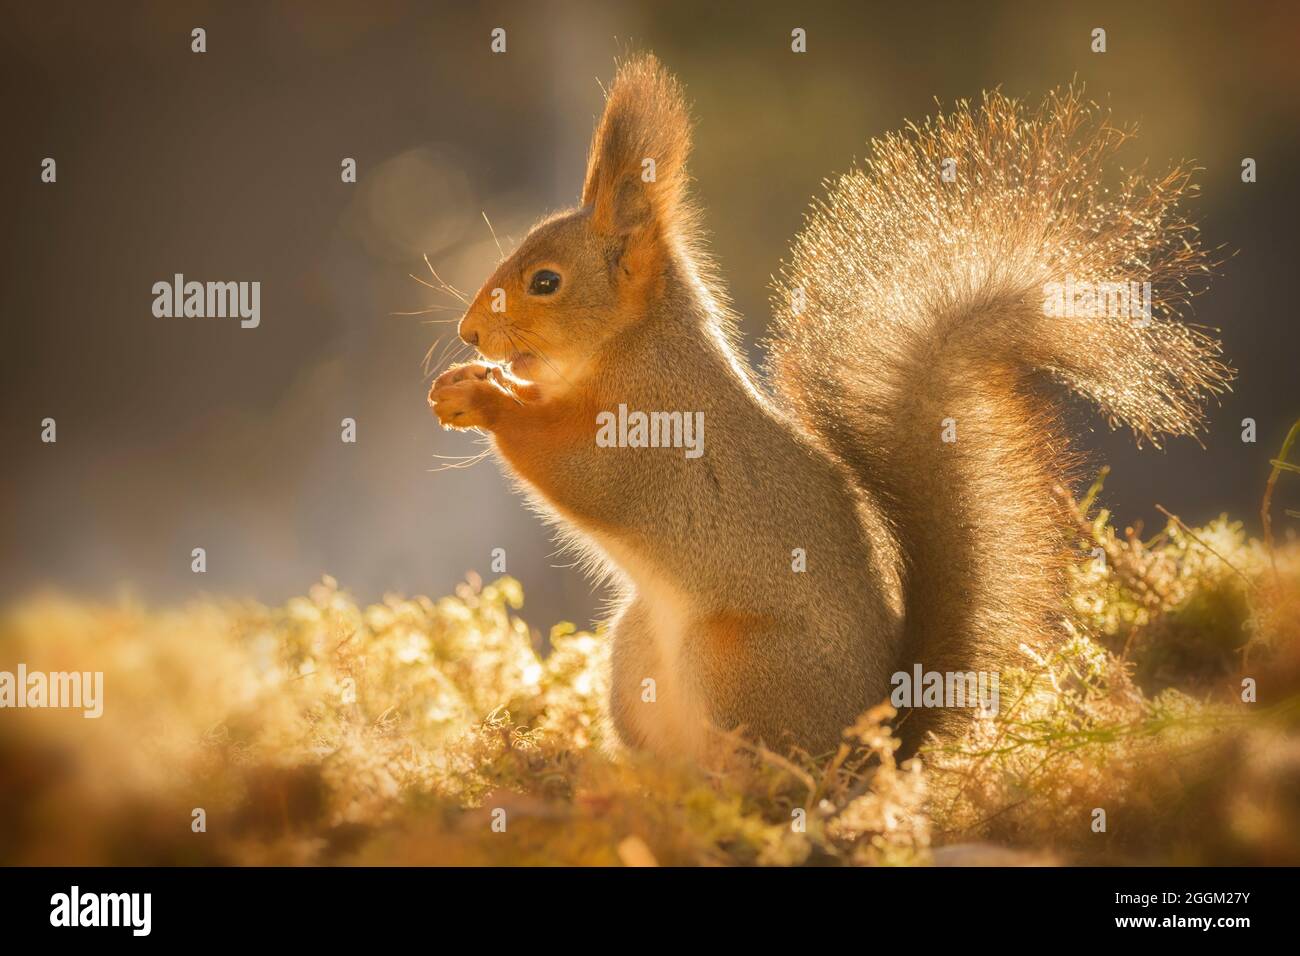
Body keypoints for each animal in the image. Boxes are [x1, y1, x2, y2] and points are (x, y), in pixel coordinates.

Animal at [429, 54, 1231, 761]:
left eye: (545, 281)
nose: (469, 333)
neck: (633, 349)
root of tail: (872, 752)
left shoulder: (648, 437)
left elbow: (572, 467)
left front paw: (483, 397)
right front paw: (464, 380)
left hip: (738, 666)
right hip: (634, 656)